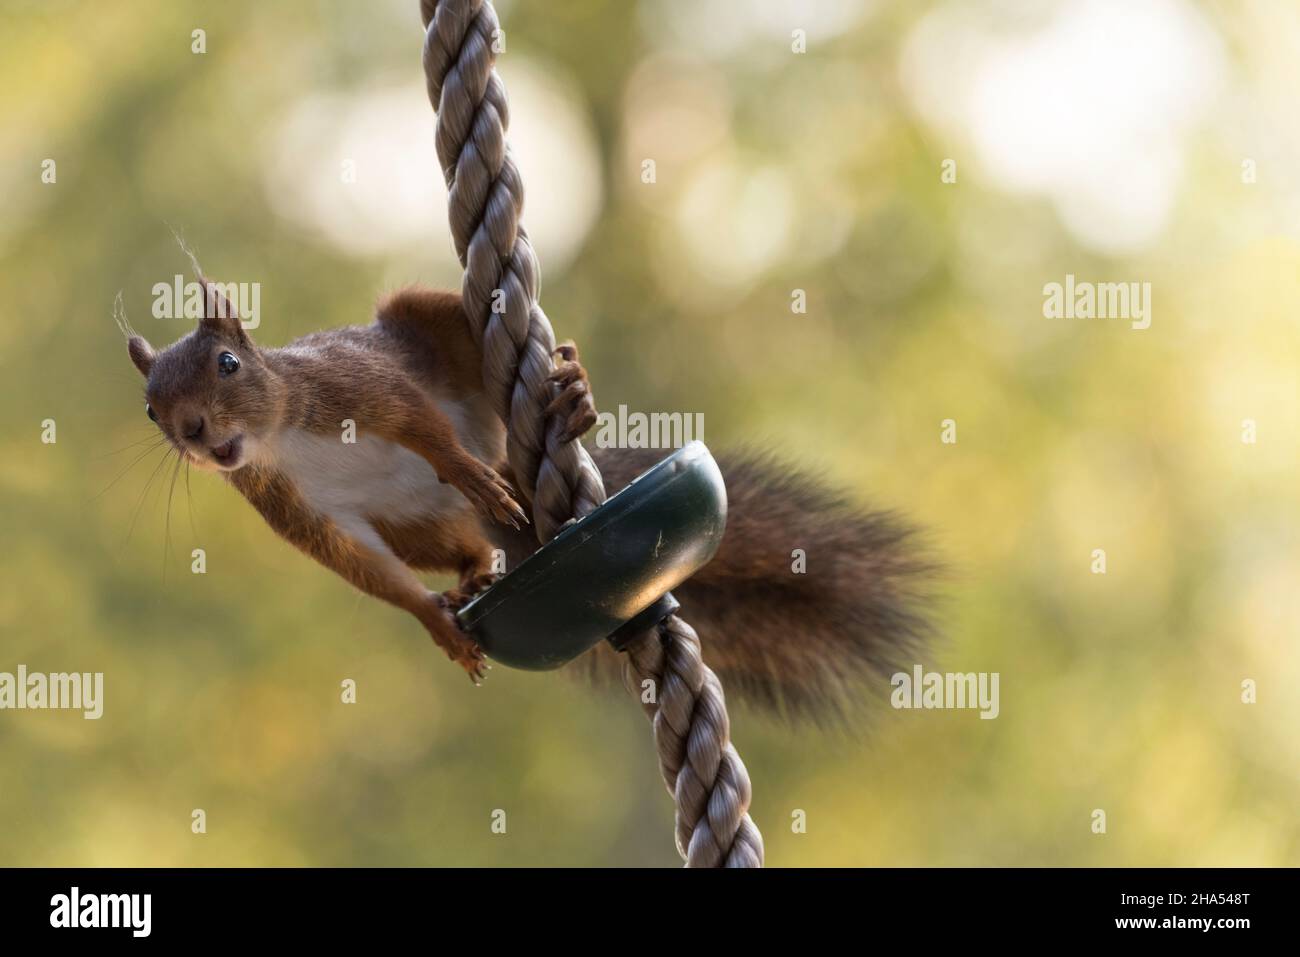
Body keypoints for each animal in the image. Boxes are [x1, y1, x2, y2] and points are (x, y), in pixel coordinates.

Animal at [125, 277, 933, 722]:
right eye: (150, 410)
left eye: (229, 364)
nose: (194, 433)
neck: (279, 436)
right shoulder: (289, 505)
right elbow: (362, 565)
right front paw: (435, 622)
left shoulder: (349, 383)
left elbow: (417, 418)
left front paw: (462, 463)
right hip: (421, 522)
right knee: (472, 548)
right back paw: (472, 579)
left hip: (433, 330)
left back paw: (563, 402)